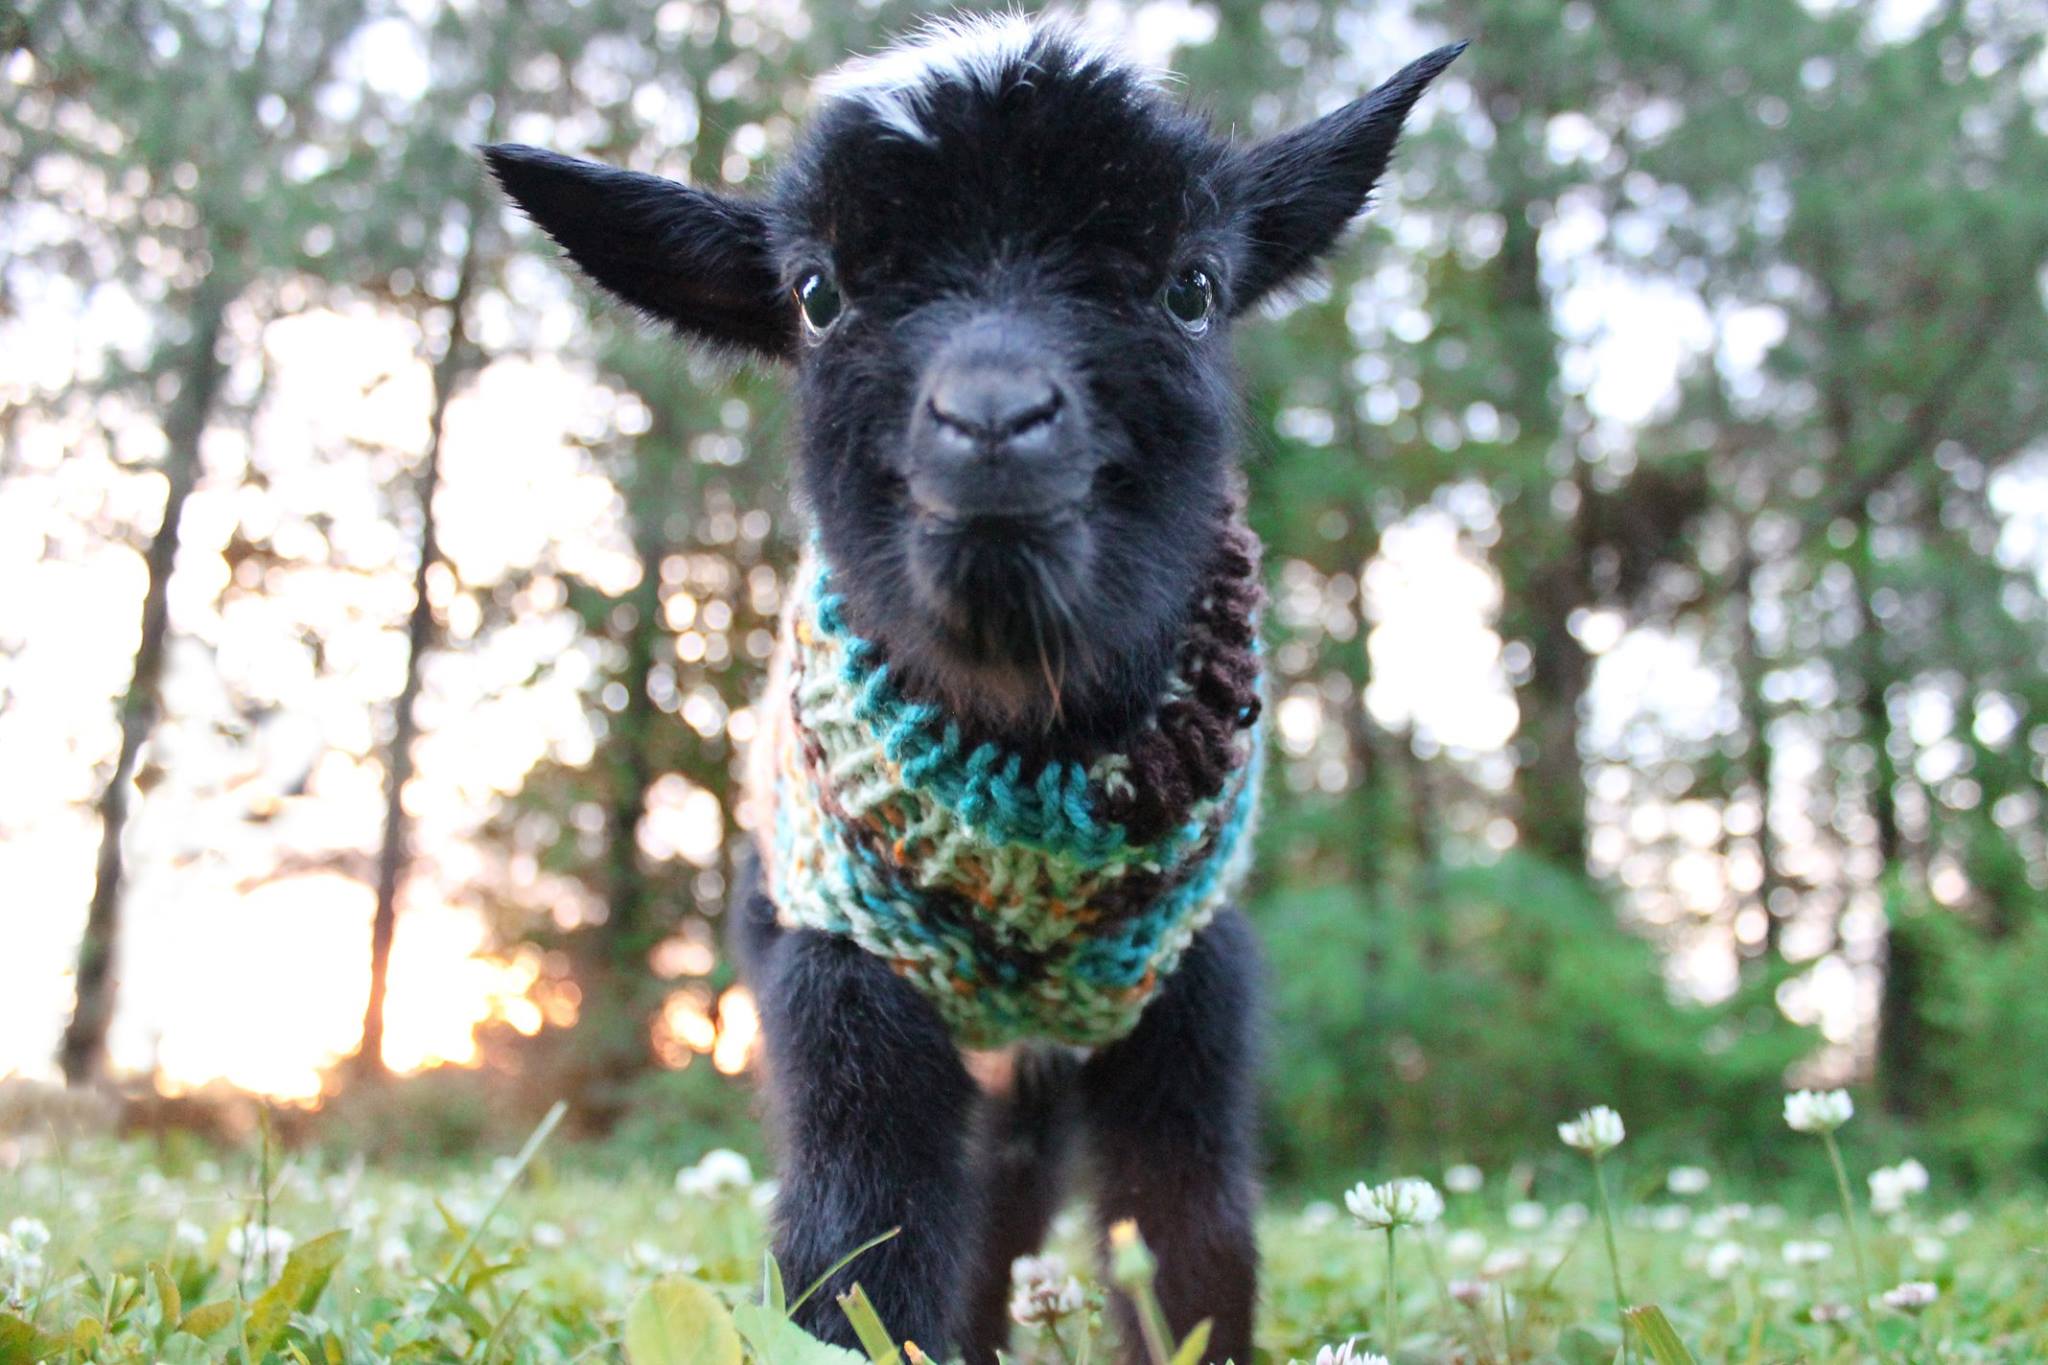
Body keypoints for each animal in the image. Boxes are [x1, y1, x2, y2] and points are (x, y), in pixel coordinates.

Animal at [487, 15, 1459, 1361]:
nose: (993, 422)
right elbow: (857, 1231)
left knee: (1010, 1193)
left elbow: (1190, 1231)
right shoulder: (842, 972)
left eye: (1192, 288)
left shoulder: (1191, 981)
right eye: (817, 295)